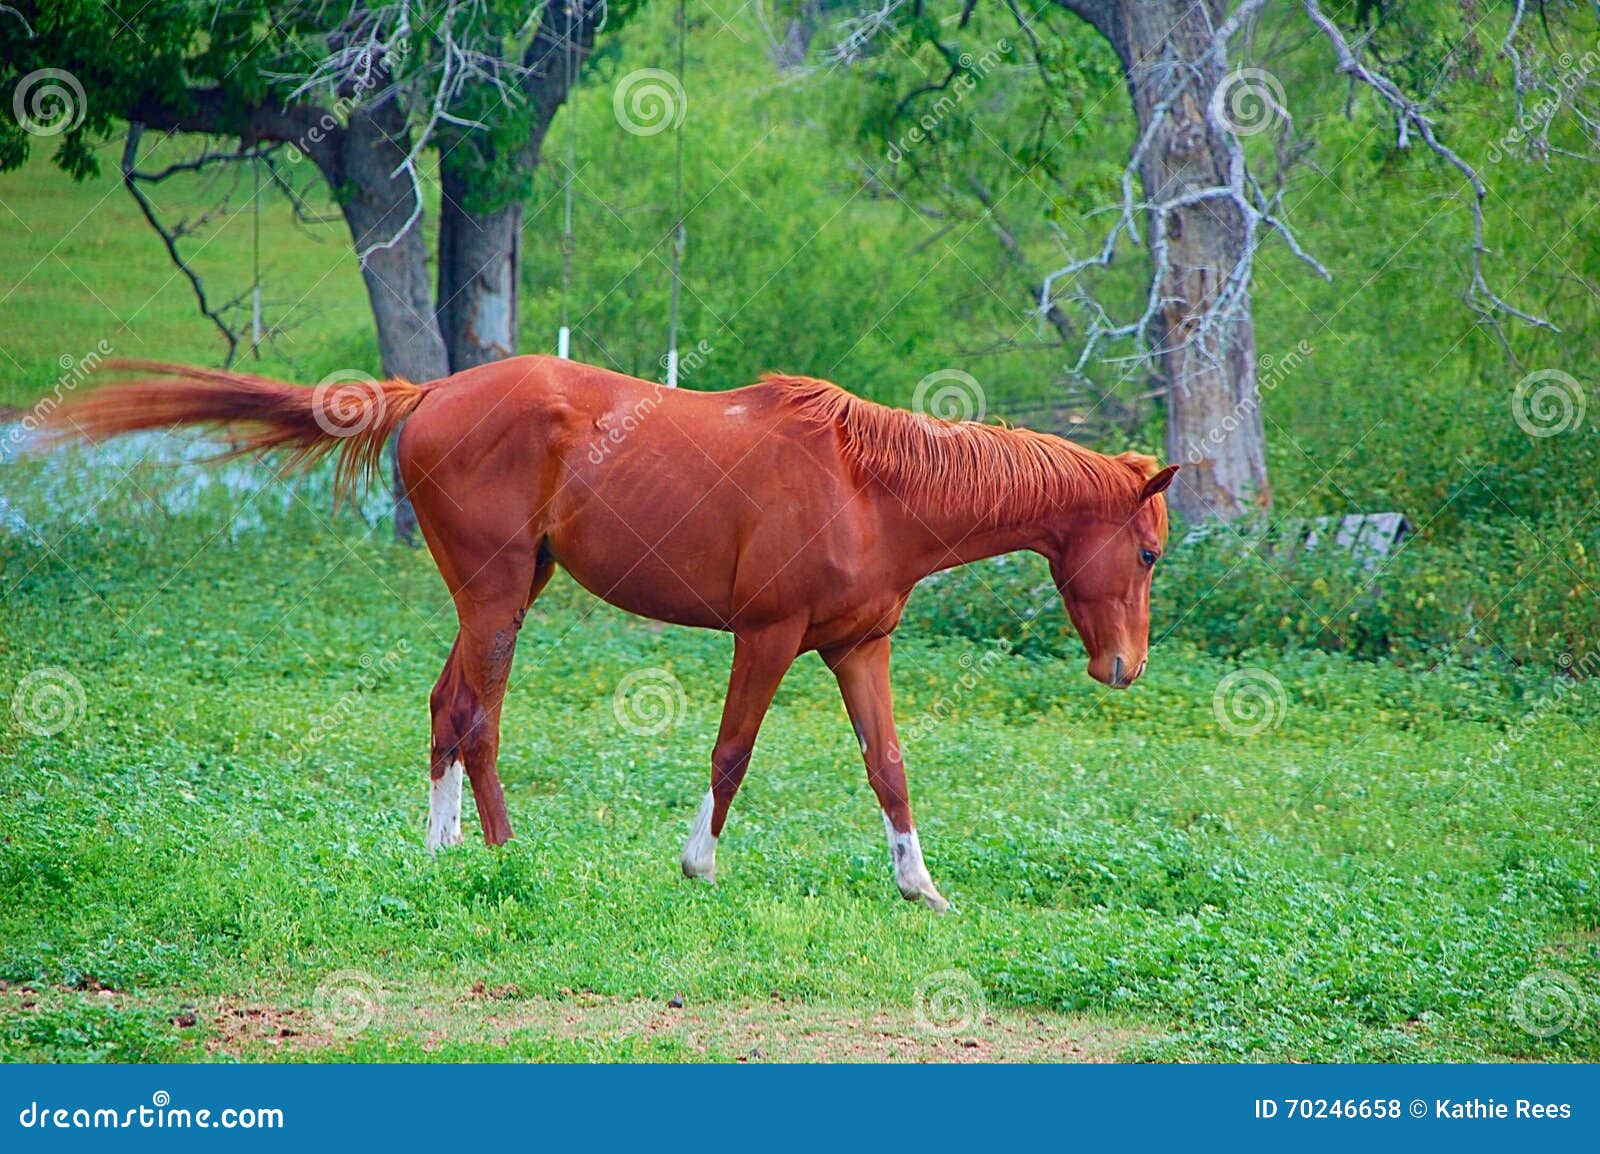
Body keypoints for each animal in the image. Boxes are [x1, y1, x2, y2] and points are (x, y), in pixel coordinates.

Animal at [45, 356, 1175, 912]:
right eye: (1150, 553)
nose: (1124, 669)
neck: (870, 487)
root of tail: (433, 391)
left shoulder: (859, 648)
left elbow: (888, 767)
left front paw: (919, 884)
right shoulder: (766, 636)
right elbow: (731, 753)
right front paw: (697, 865)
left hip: (505, 592)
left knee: (448, 711)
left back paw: (445, 850)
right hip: (497, 596)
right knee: (478, 716)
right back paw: (500, 859)